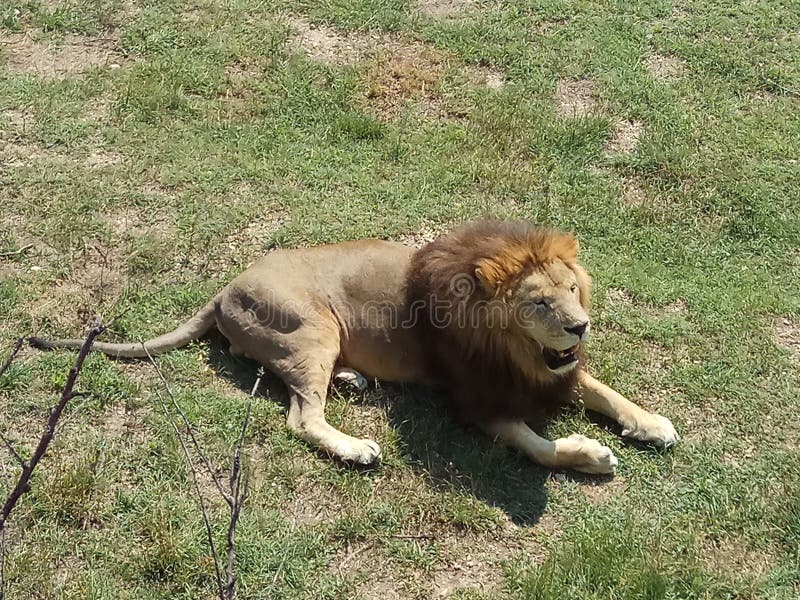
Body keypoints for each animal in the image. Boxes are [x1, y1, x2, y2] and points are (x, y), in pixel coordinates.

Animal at [30, 220, 678, 473]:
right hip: (312, 327)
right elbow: (538, 446)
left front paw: (650, 423)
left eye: (572, 291)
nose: (580, 327)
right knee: (300, 416)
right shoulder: (475, 401)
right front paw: (591, 455)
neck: (514, 350)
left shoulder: (556, 370)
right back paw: (355, 447)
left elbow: (606, 391)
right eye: (539, 303)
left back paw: (352, 379)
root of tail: (225, 289)